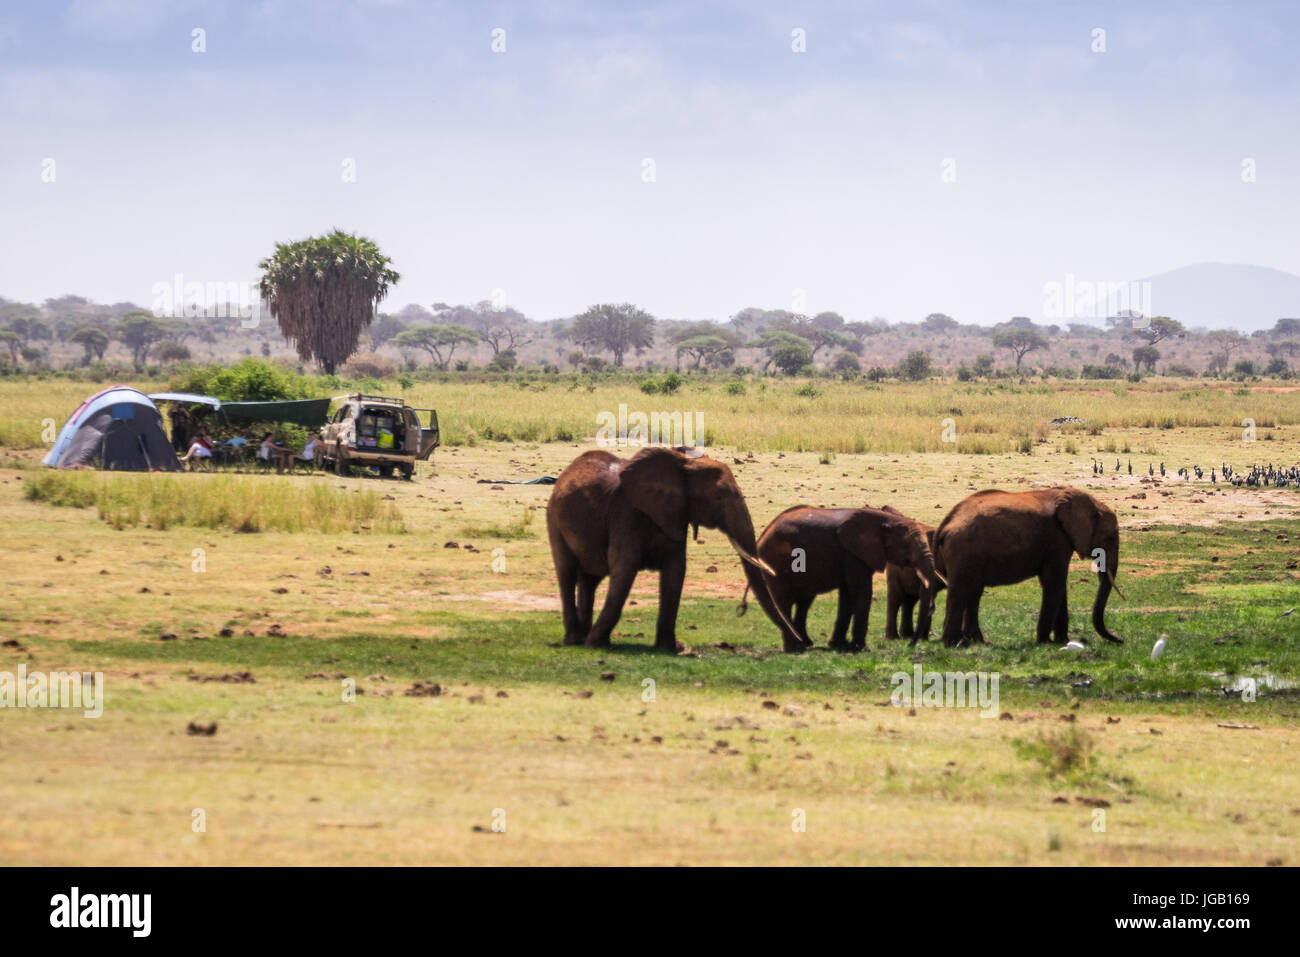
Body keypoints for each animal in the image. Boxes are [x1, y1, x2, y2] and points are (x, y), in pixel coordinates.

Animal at [546, 446, 806, 652]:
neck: (683, 464)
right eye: (718, 498)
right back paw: (576, 641)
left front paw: (669, 649)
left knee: (589, 580)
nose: (799, 645)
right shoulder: (626, 513)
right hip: (554, 519)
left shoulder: (676, 513)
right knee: (567, 572)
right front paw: (598, 645)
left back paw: (582, 638)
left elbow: (675, 571)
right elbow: (625, 567)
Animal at [741, 505, 941, 651]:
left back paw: (805, 643)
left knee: (804, 602)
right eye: (908, 546)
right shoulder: (853, 554)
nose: (912, 644)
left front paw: (839, 645)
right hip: (776, 561)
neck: (886, 520)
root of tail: (763, 535)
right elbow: (861, 591)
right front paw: (861, 648)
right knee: (785, 601)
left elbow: (847, 595)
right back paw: (795, 648)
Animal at [932, 487, 1123, 648]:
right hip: (963, 550)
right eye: (1110, 537)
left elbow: (1056, 585)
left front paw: (1062, 641)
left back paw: (980, 642)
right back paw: (955, 644)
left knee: (973, 592)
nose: (1121, 640)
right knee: (960, 591)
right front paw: (1046, 643)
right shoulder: (1056, 539)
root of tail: (944, 526)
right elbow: (1055, 582)